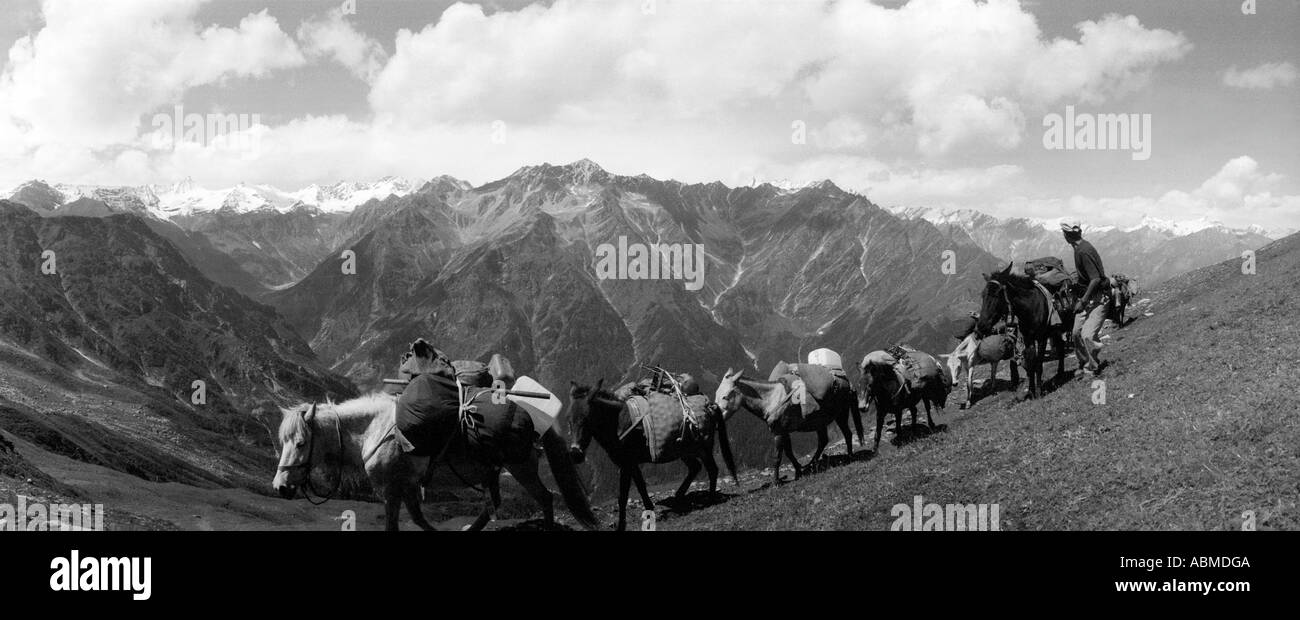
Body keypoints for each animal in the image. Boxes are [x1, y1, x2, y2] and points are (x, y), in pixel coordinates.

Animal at [566, 378, 739, 531]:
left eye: (587, 419)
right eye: (568, 420)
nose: (575, 454)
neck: (618, 423)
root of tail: (711, 405)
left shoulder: (626, 464)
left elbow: (623, 496)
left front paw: (621, 525)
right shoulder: (631, 464)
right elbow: (641, 486)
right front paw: (649, 511)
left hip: (703, 448)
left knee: (712, 469)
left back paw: (710, 499)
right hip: (683, 450)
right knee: (695, 467)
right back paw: (678, 497)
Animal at [714, 367, 861, 486]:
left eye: (725, 396)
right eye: (716, 395)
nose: (715, 419)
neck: (771, 400)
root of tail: (848, 385)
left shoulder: (779, 433)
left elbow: (777, 457)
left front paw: (776, 481)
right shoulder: (785, 432)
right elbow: (789, 453)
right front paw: (798, 471)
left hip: (841, 414)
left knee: (847, 433)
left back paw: (849, 457)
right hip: (820, 422)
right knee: (823, 441)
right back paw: (811, 465)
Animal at [977, 262, 1073, 399]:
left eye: (997, 294)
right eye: (983, 294)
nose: (981, 326)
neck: (1030, 308)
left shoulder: (1042, 338)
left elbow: (1038, 364)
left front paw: (1039, 392)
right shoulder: (1028, 339)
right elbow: (1031, 364)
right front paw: (1031, 392)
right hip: (1056, 331)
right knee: (1060, 348)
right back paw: (1059, 375)